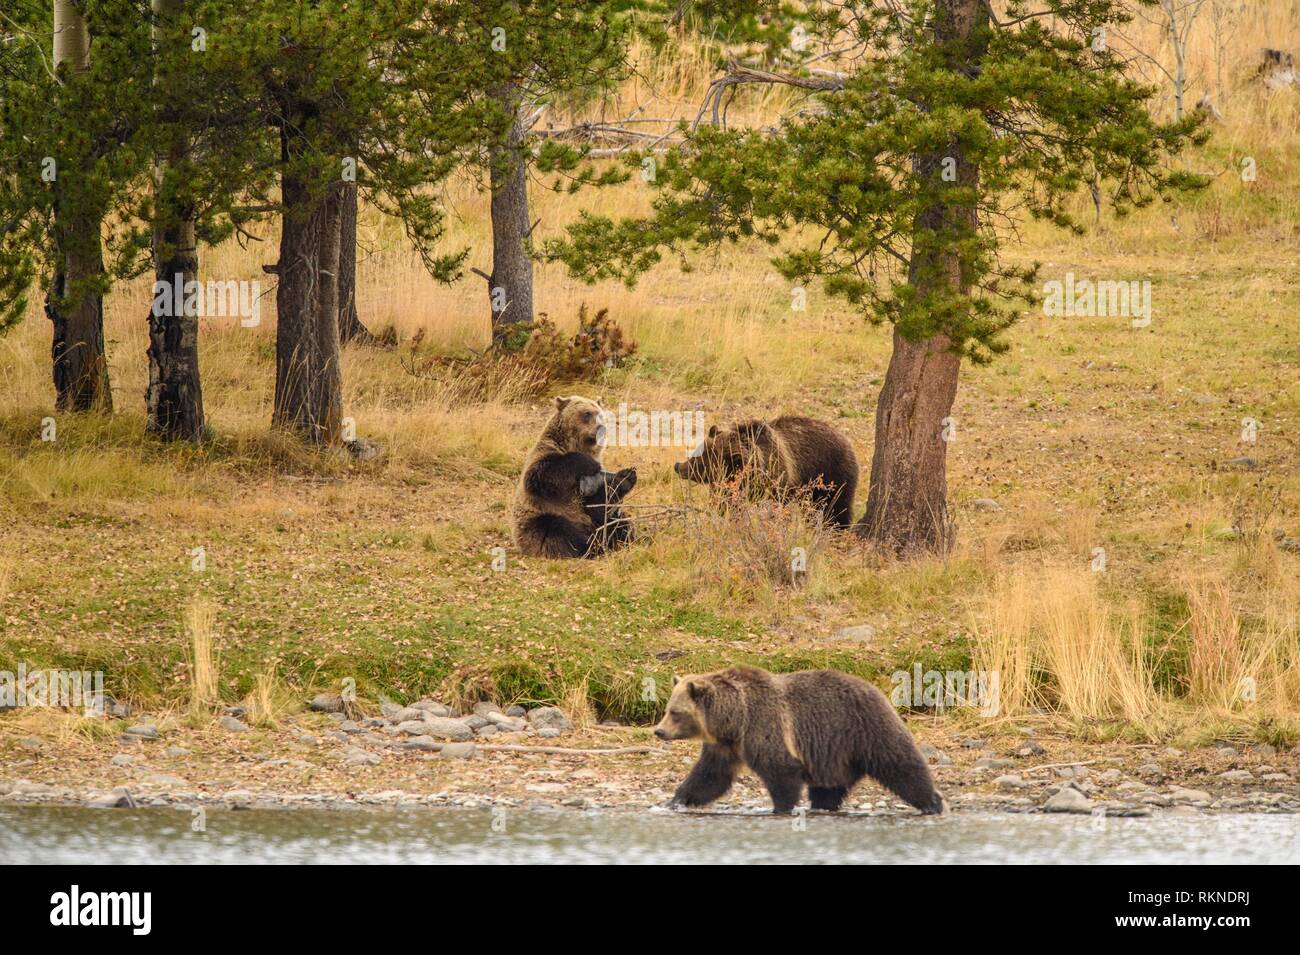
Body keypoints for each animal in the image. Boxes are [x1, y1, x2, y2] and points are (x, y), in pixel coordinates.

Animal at [512, 395, 637, 558]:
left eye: (601, 414)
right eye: (587, 413)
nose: (601, 428)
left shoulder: (590, 488)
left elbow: (598, 504)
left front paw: (626, 476)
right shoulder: (544, 458)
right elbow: (542, 475)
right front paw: (589, 463)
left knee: (619, 524)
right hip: (538, 520)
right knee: (557, 530)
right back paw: (590, 546)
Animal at [653, 665, 944, 815]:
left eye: (675, 712)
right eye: (667, 709)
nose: (659, 731)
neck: (734, 720)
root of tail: (876, 689)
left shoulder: (765, 727)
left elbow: (782, 772)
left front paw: (781, 808)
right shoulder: (725, 747)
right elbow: (709, 776)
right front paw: (675, 801)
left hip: (864, 728)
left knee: (900, 763)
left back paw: (932, 802)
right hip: (834, 757)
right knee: (828, 789)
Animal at [673, 416, 859, 527]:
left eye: (700, 462)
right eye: (696, 452)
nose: (678, 466)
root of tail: (846, 440)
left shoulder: (779, 483)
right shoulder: (730, 488)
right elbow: (726, 505)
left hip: (833, 475)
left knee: (836, 508)